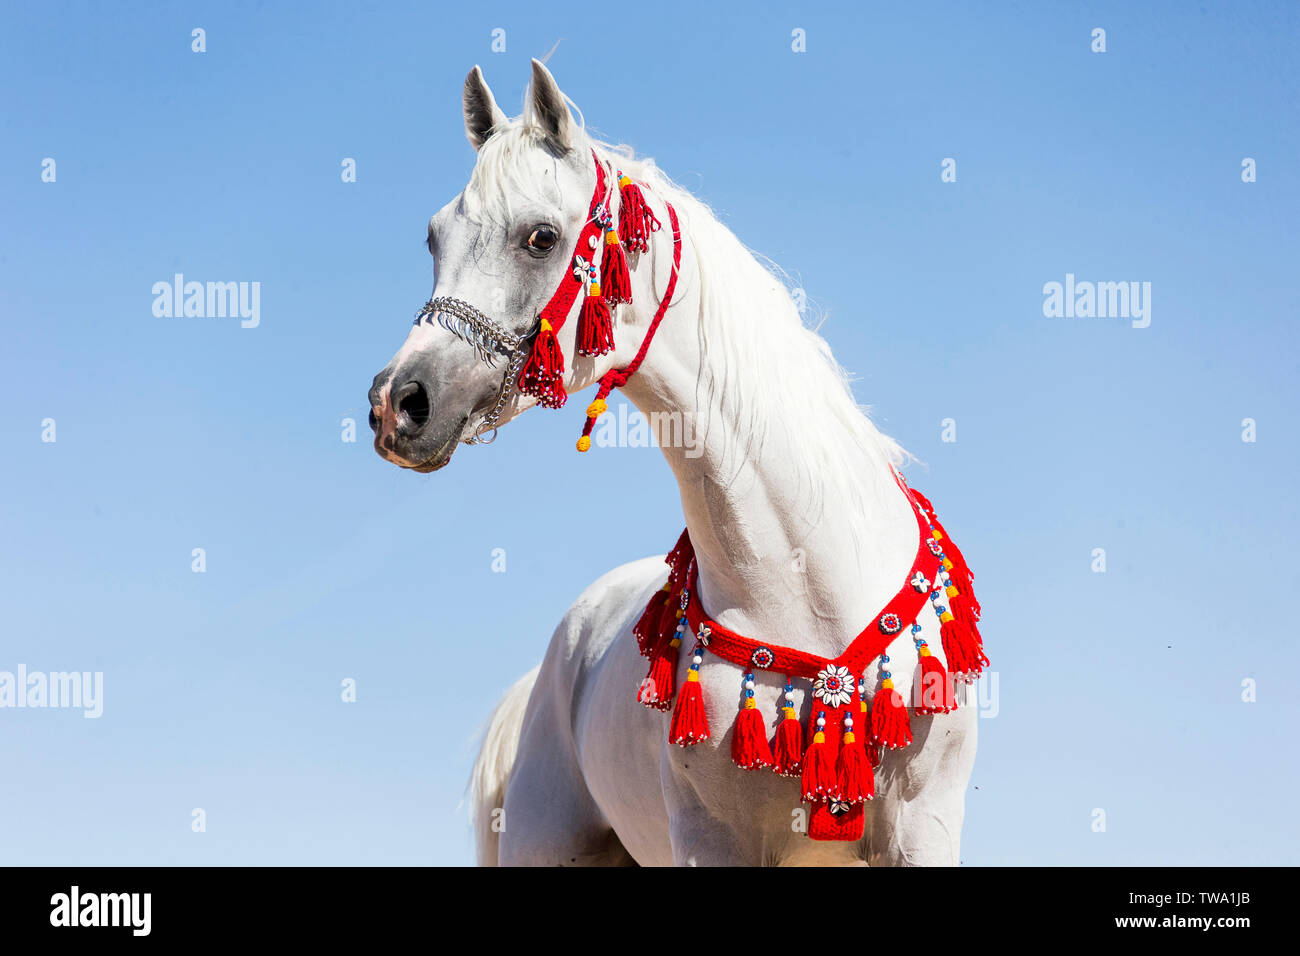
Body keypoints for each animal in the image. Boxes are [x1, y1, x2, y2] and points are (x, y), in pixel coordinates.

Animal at [367, 60, 983, 866]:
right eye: (435, 238)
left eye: (540, 236)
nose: (397, 403)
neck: (811, 584)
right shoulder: (710, 839)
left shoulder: (924, 825)